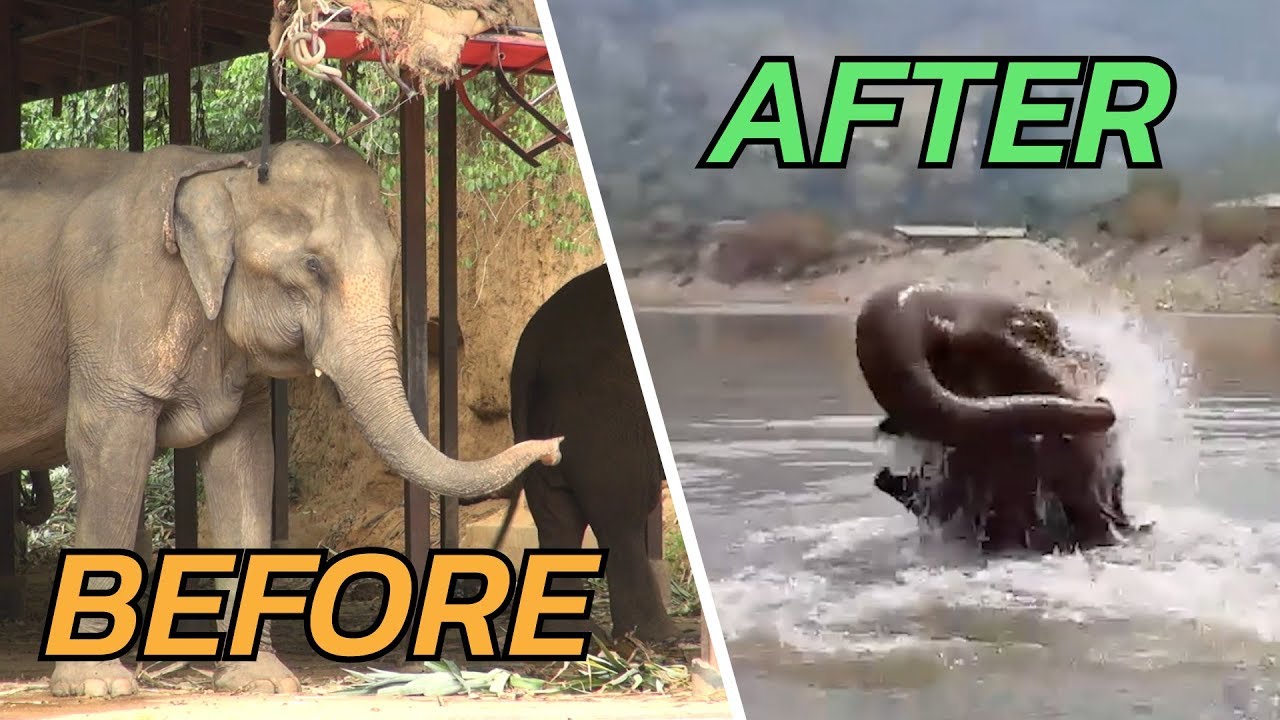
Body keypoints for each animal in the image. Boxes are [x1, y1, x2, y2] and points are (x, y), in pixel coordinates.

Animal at [0, 140, 564, 698]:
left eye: (392, 261)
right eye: (313, 265)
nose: (554, 446)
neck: (226, 171)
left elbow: (245, 464)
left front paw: (260, 681)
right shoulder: (116, 309)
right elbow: (104, 448)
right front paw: (97, 686)